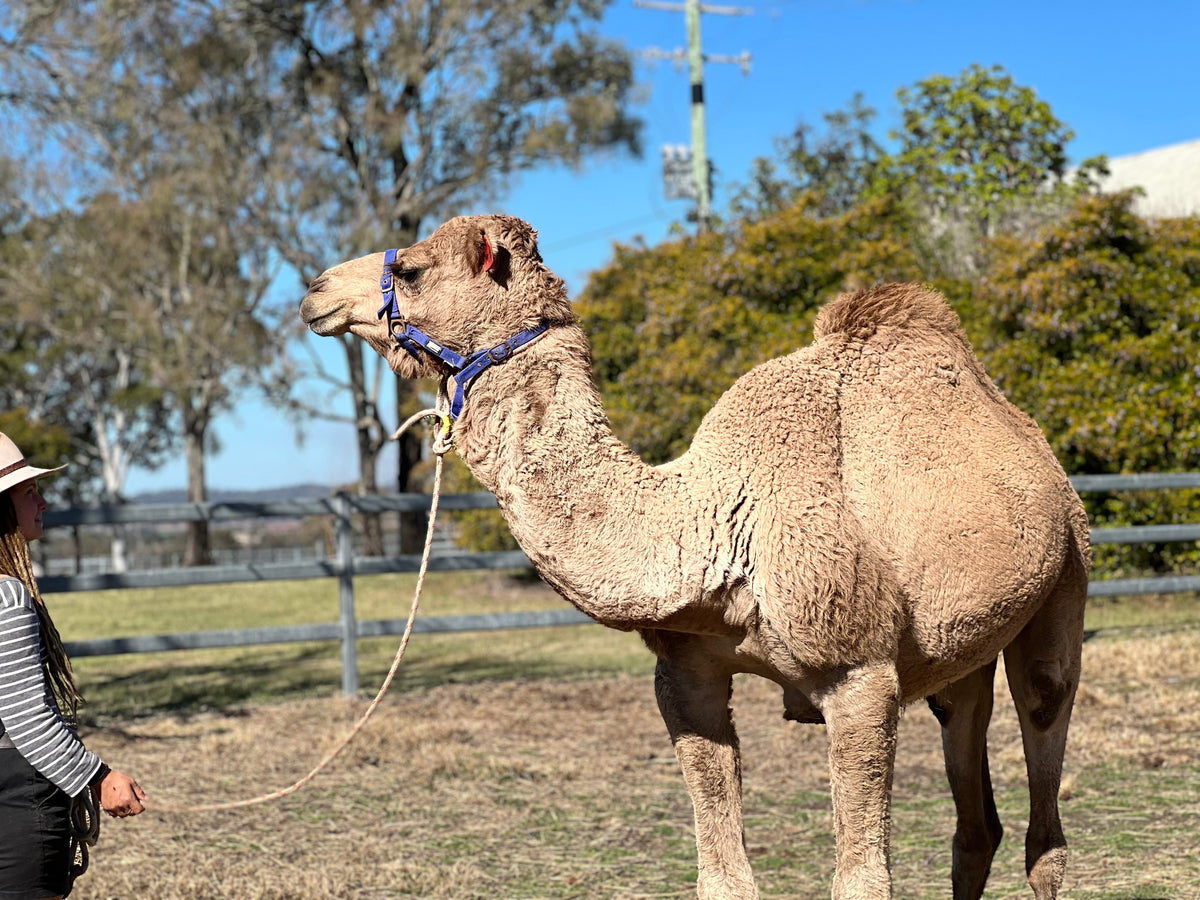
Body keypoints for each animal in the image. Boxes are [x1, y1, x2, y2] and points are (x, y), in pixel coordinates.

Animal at [299, 214, 1090, 900]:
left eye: (410, 268)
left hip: (1066, 581)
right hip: (959, 651)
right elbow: (723, 877)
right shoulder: (686, 675)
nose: (314, 289)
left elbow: (862, 881)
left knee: (1044, 788)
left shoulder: (860, 674)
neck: (716, 531)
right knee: (973, 814)